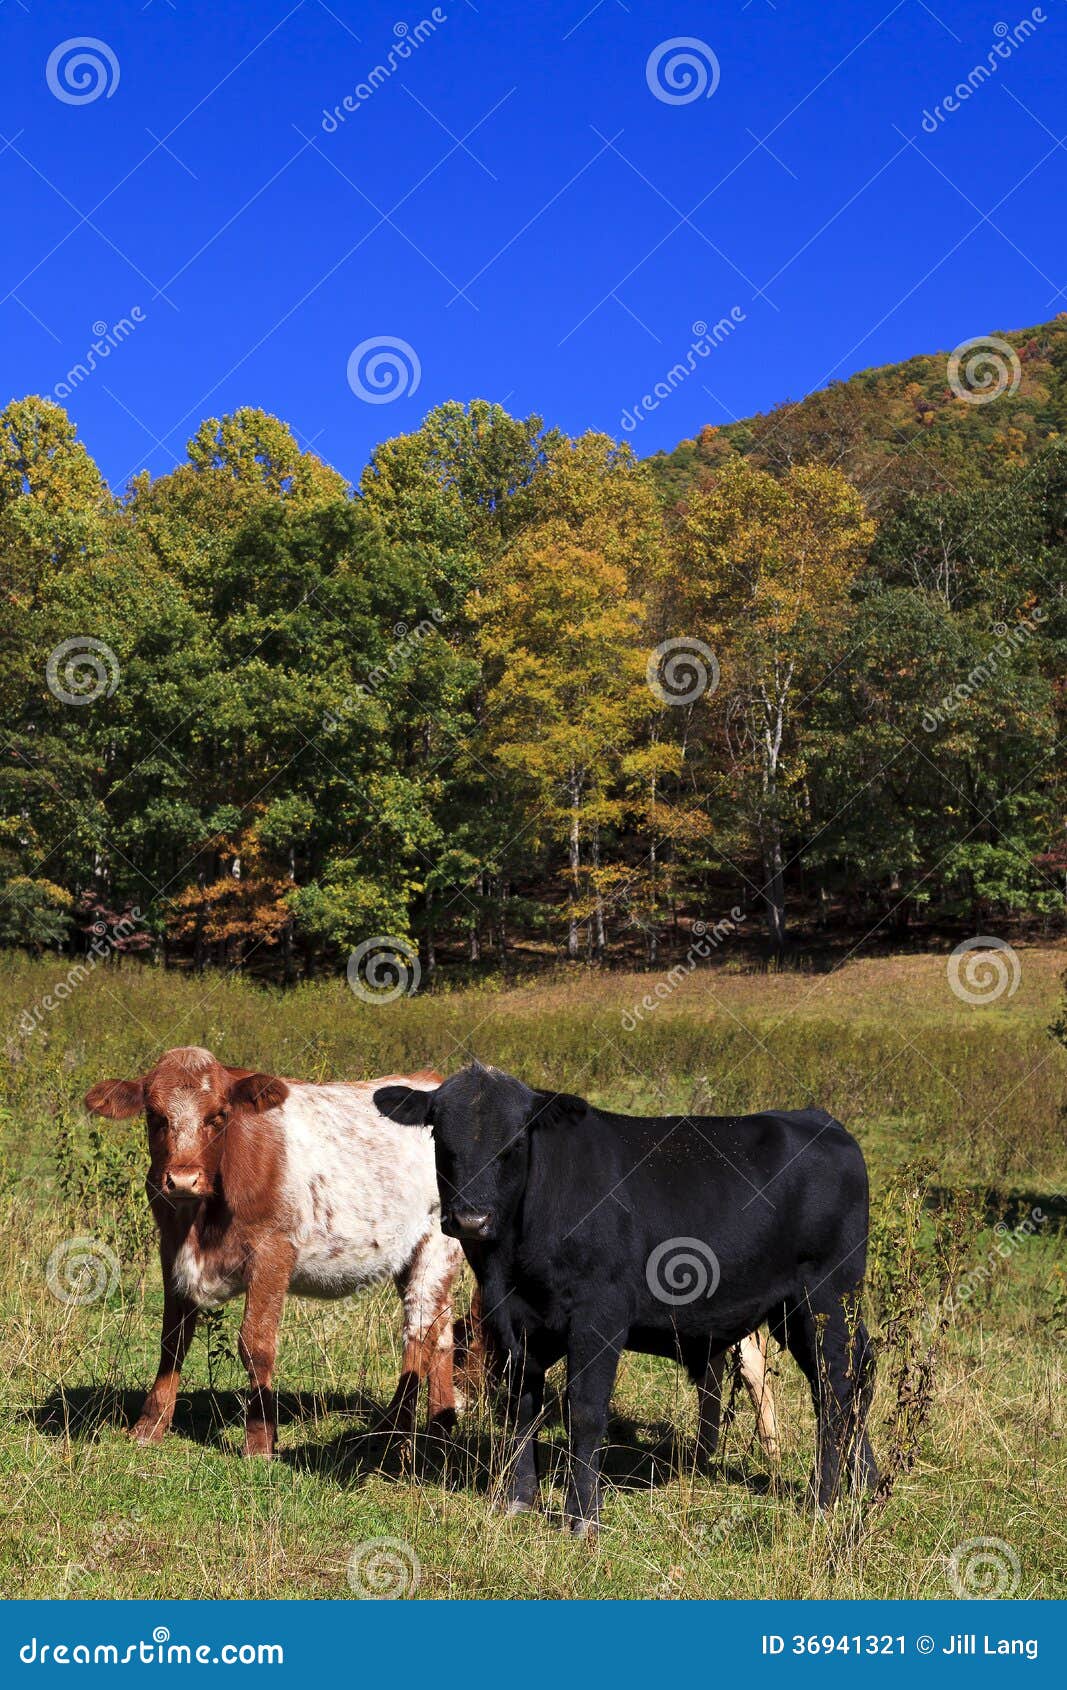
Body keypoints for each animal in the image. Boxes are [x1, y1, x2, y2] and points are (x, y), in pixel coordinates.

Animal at [84, 1047, 464, 1457]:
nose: (183, 1180)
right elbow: (173, 1339)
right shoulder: (171, 1251)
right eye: (154, 1116)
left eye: (219, 1116)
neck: (200, 1225)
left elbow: (256, 1344)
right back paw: (440, 1428)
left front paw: (260, 1439)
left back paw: (393, 1430)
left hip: (436, 1245)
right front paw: (149, 1426)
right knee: (443, 1329)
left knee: (420, 1332)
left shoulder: (273, 1252)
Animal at [375, 1063, 877, 1537]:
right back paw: (866, 1484)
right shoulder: (510, 1321)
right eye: (439, 1134)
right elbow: (523, 1407)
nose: (471, 1219)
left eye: (516, 1141)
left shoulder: (599, 1316)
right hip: (799, 1309)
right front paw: (519, 1501)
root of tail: (819, 1119)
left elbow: (585, 1412)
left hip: (826, 1298)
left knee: (835, 1388)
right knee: (856, 1377)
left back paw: (823, 1499)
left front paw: (583, 1518)